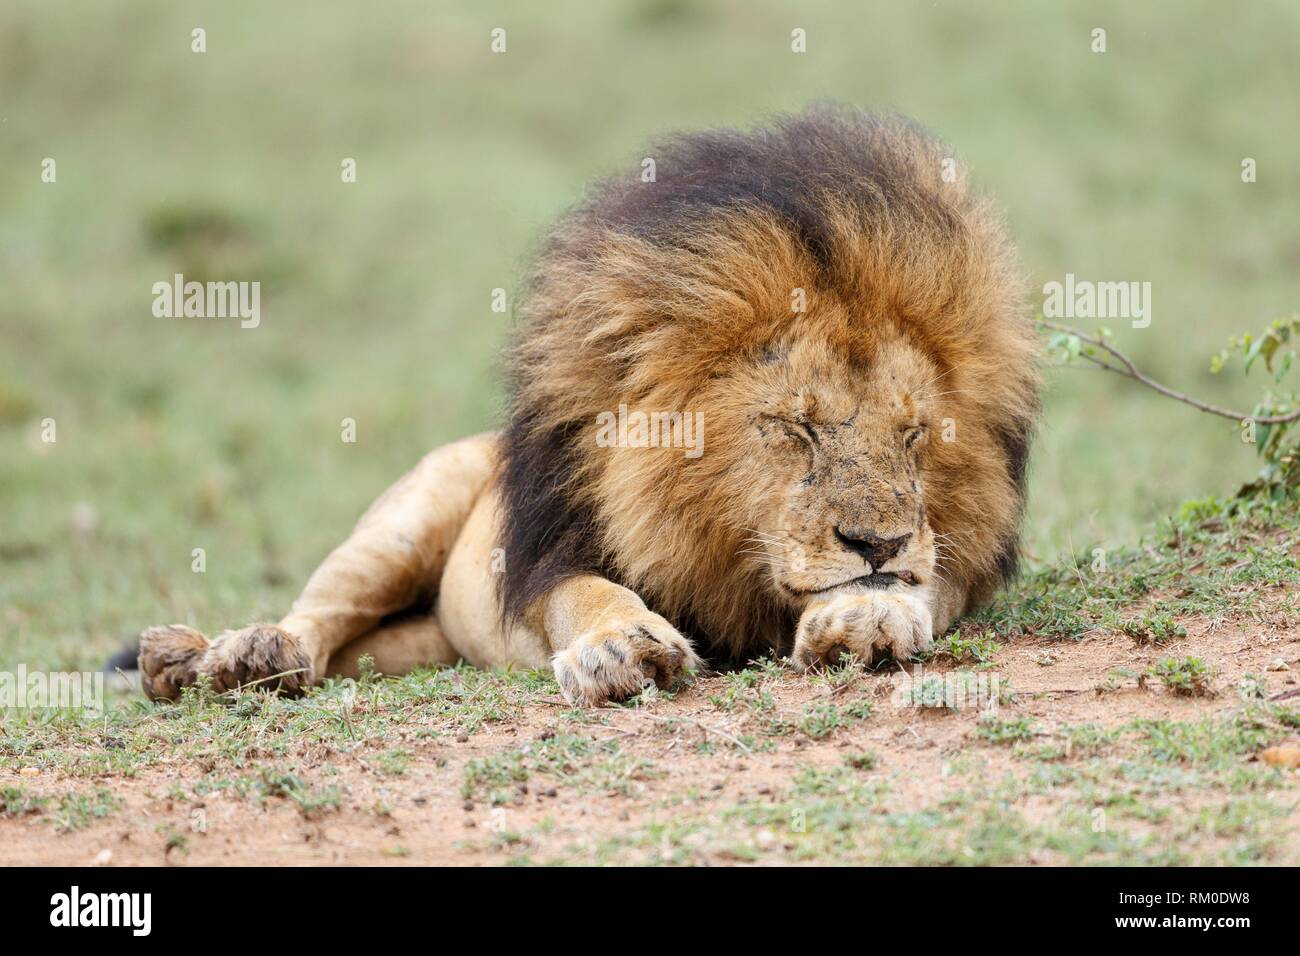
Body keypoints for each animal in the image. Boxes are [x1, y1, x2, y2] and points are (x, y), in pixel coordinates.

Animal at [135, 106, 1040, 707]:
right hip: (406, 518)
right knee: (323, 613)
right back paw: (235, 652)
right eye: (793, 427)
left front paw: (867, 610)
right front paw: (621, 648)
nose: (878, 541)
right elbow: (591, 596)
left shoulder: (955, 558)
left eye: (915, 434)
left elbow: (924, 582)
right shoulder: (549, 557)